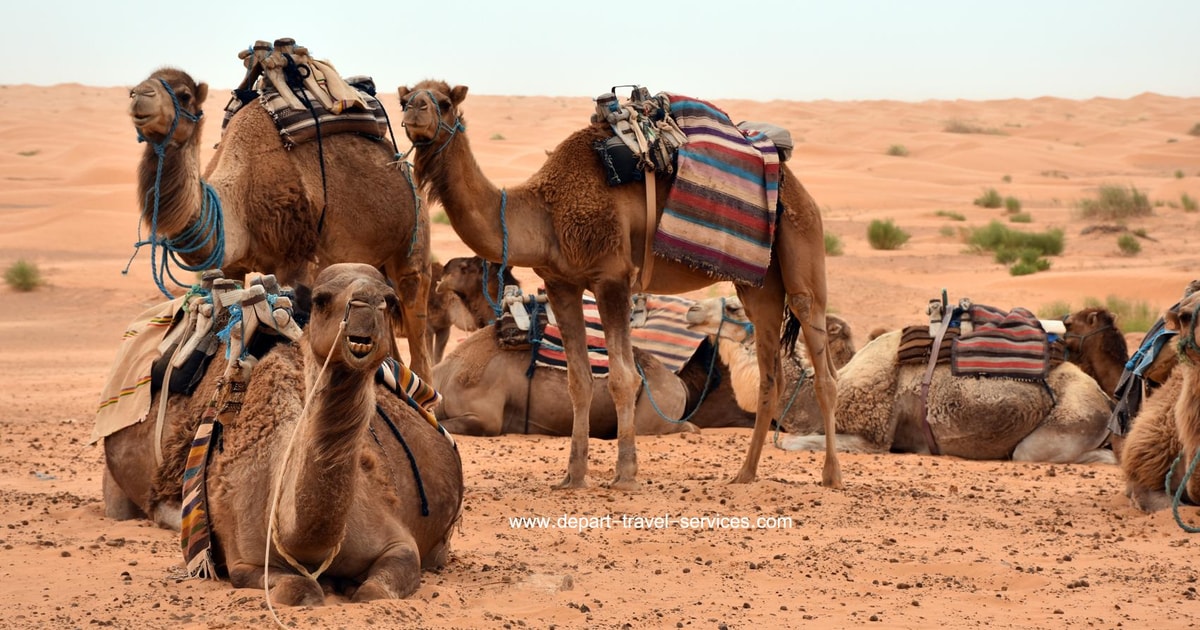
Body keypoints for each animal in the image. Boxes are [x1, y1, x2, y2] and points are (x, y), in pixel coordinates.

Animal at [107, 264, 462, 604]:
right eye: (321, 299)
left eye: (389, 300)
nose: (367, 303)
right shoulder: (245, 561)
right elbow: (300, 590)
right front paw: (324, 586)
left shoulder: (398, 543)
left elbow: (375, 591)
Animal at [128, 67, 434, 380]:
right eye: (138, 86)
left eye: (185, 95)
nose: (140, 96)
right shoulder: (230, 264)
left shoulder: (295, 260)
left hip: (413, 242)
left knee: (415, 316)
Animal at [400, 81, 839, 489]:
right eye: (407, 98)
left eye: (443, 102)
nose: (413, 111)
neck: (544, 213)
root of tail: (789, 177)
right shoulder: (561, 283)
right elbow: (579, 381)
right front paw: (573, 477)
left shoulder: (612, 276)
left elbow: (623, 377)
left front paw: (625, 474)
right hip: (757, 284)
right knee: (770, 375)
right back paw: (745, 474)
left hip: (803, 241)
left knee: (820, 354)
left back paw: (831, 474)